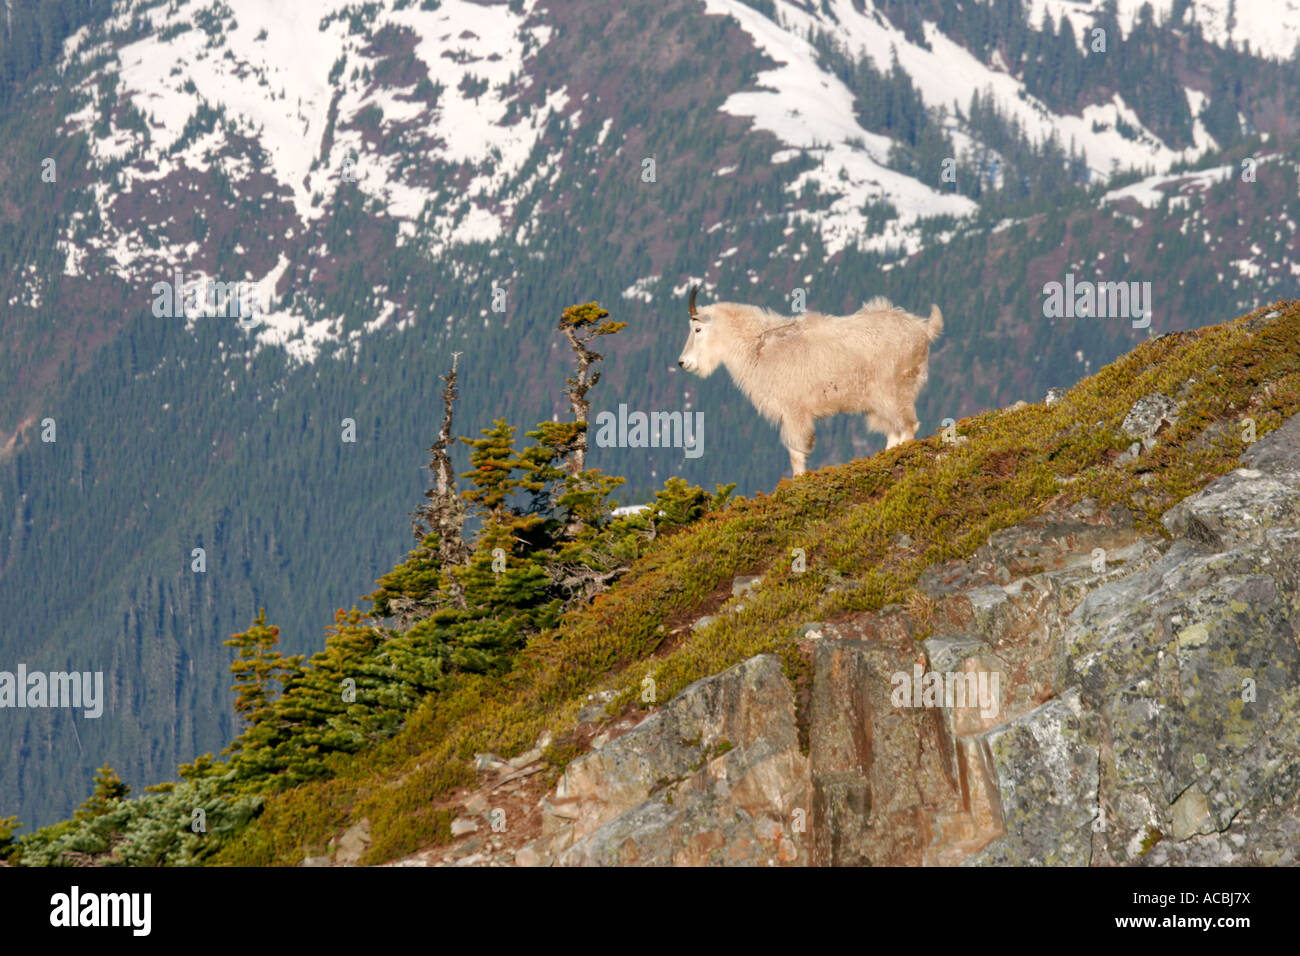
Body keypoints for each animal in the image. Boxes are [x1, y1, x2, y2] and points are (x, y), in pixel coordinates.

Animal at [676, 286, 943, 477]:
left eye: (697, 329)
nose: (683, 362)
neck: (757, 346)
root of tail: (923, 330)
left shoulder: (794, 411)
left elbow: (796, 453)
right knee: (895, 430)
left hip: (892, 391)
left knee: (908, 426)